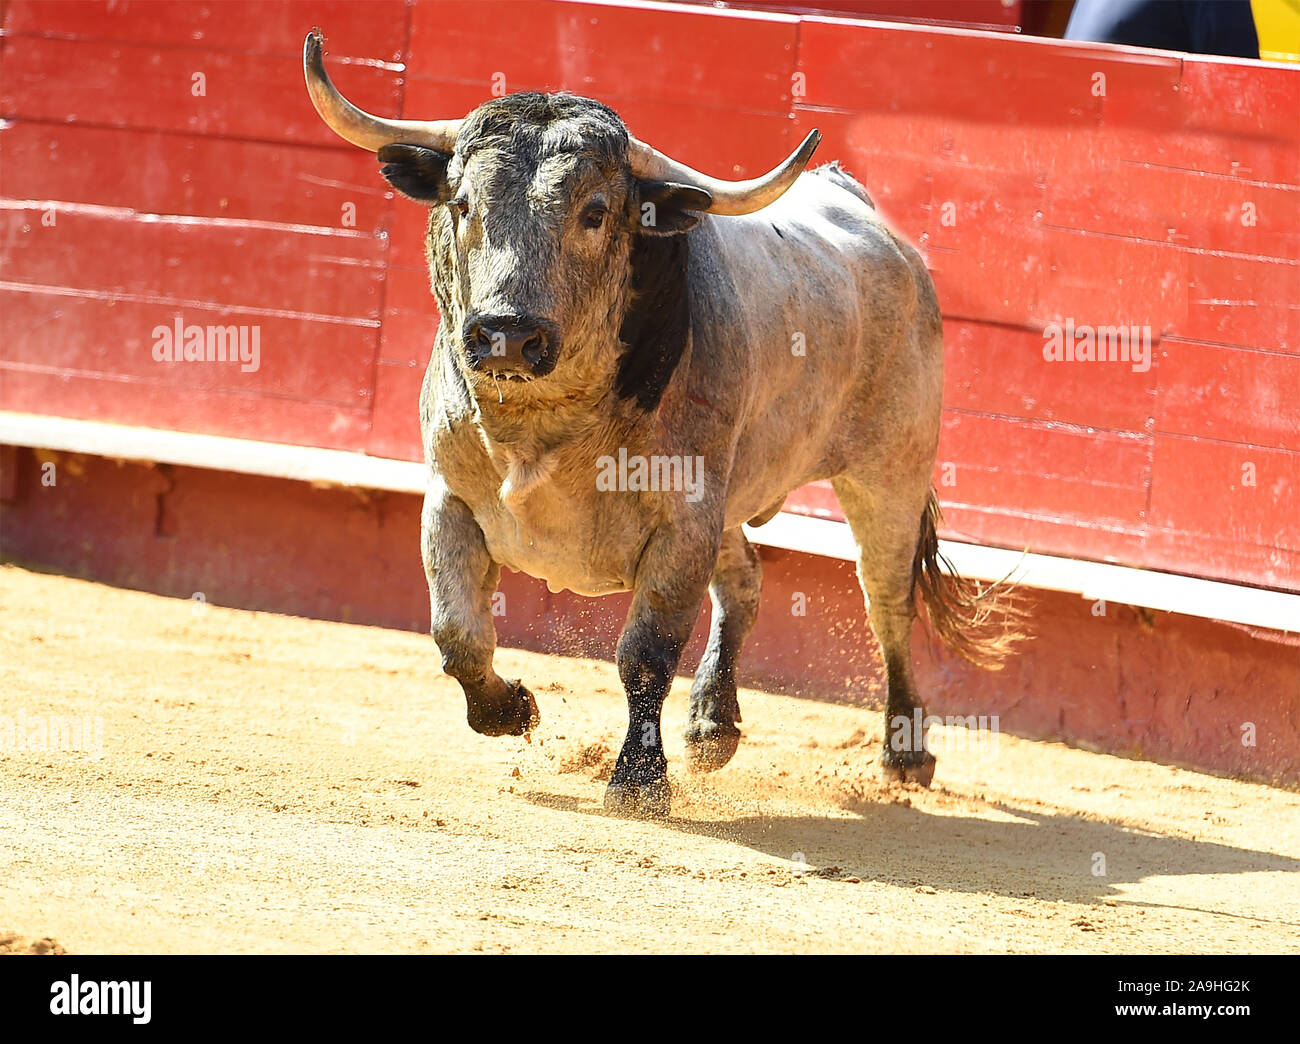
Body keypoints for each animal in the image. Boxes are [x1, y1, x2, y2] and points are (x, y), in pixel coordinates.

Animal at [304, 30, 1021, 817]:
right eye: (462, 204)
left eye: (594, 211)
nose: (506, 336)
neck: (546, 426)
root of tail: (866, 212)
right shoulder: (450, 497)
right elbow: (457, 631)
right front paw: (510, 708)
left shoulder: (681, 523)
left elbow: (644, 655)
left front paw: (638, 781)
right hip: (735, 497)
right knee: (746, 578)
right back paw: (713, 725)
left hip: (887, 473)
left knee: (887, 600)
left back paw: (905, 753)